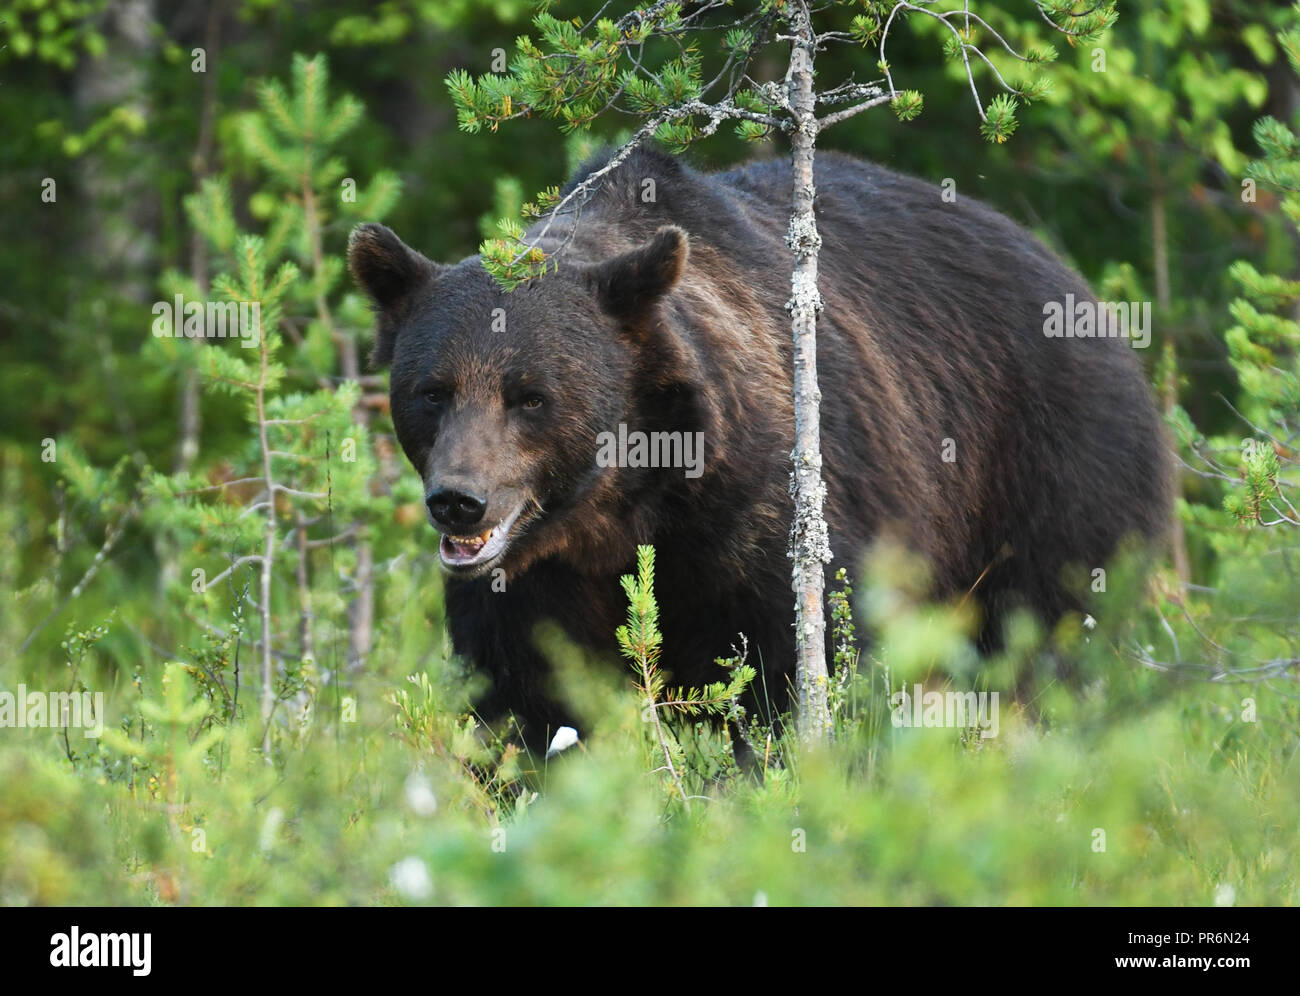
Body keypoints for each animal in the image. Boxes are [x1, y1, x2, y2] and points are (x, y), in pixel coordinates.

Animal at [348, 146, 1171, 754]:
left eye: (530, 395)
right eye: (433, 390)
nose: (460, 500)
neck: (620, 509)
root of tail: (1084, 290)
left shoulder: (762, 512)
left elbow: (793, 664)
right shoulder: (528, 584)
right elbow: (525, 703)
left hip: (1053, 468)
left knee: (1044, 642)